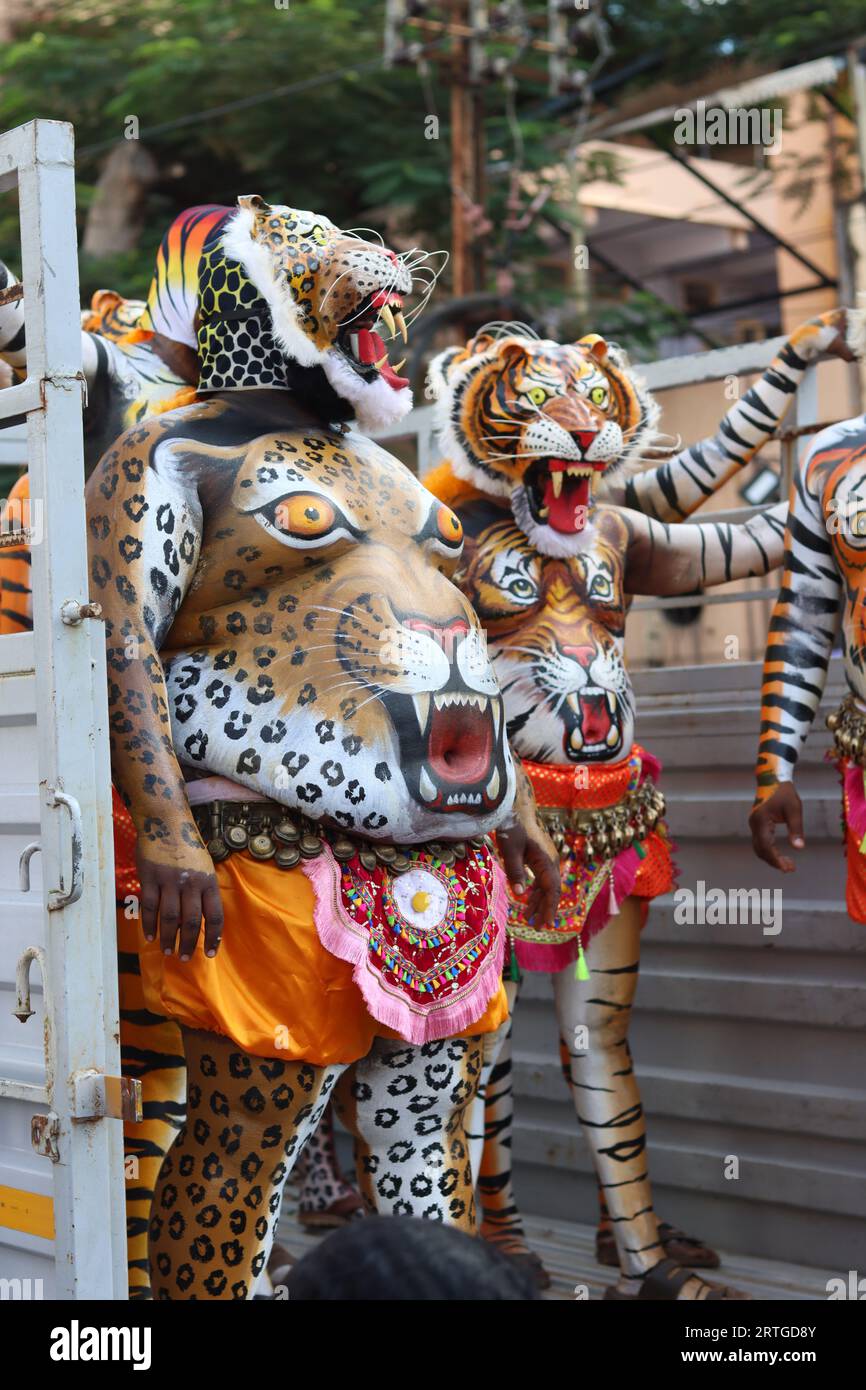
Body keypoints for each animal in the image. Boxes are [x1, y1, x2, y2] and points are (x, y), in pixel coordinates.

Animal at [424, 315, 856, 1299]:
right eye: (536, 396)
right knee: (488, 1083)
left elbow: (610, 1099)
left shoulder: (639, 525)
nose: (588, 437)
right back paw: (505, 1245)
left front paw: (656, 1263)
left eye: (596, 394)